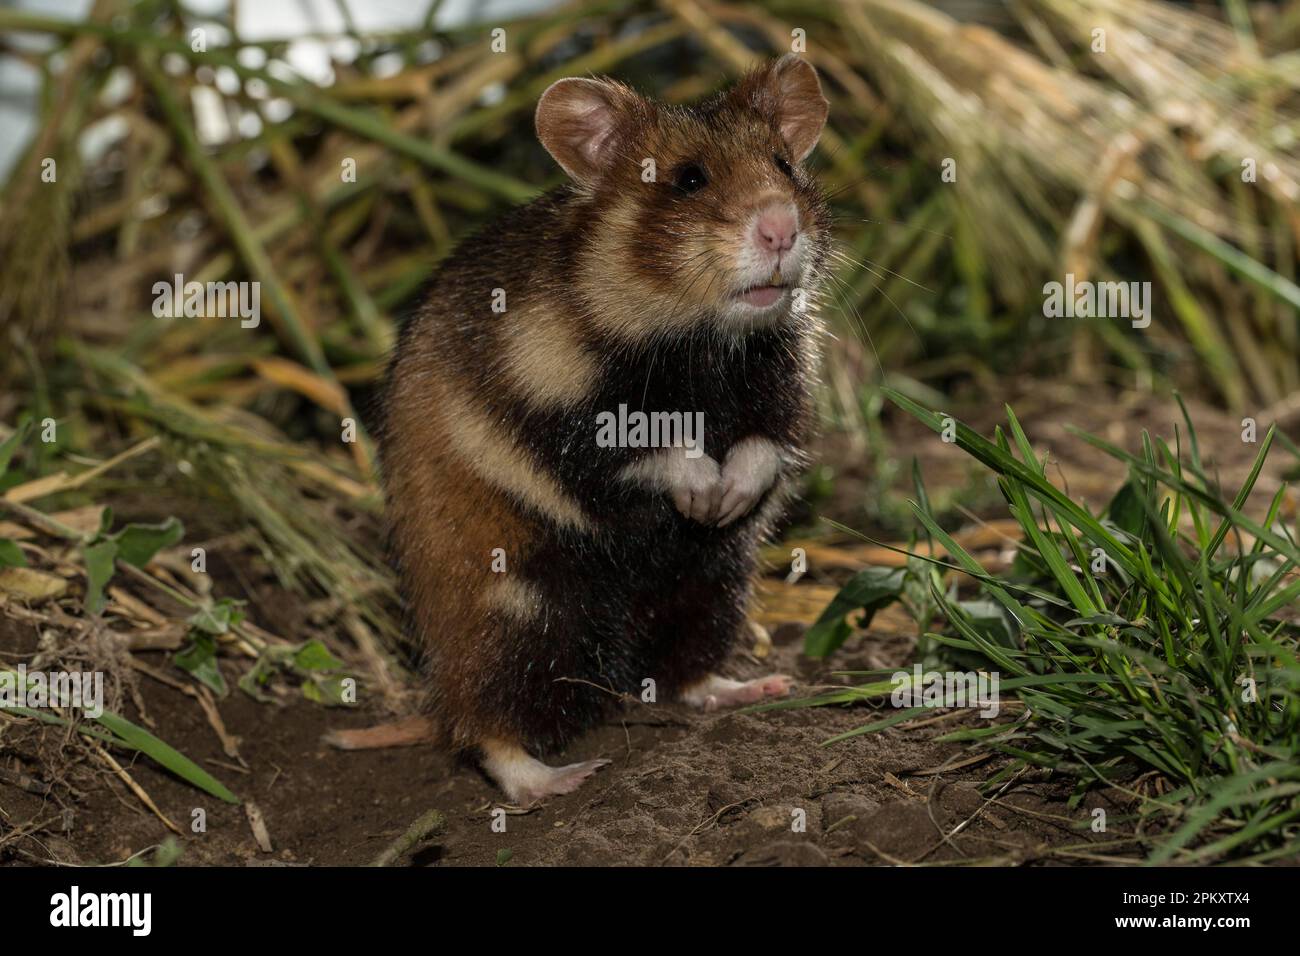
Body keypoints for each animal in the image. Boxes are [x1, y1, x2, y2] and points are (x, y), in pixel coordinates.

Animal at [366, 55, 830, 804]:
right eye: (688, 179)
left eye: (785, 165)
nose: (781, 229)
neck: (698, 340)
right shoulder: (558, 415)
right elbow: (648, 451)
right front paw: (703, 490)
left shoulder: (784, 389)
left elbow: (762, 446)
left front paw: (726, 498)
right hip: (512, 612)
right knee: (482, 724)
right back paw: (558, 778)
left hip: (715, 582)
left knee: (686, 672)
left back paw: (755, 686)